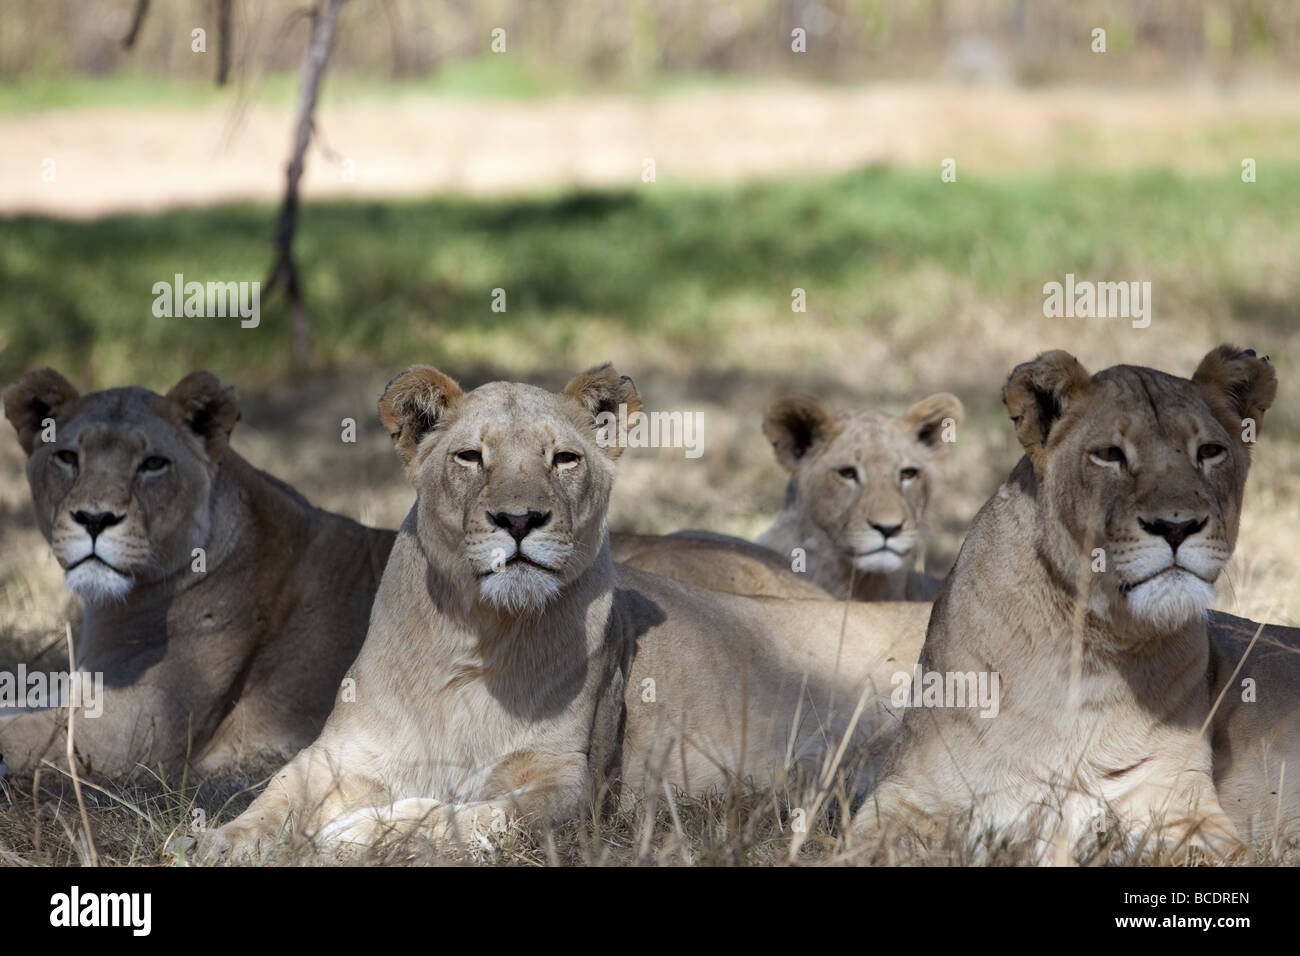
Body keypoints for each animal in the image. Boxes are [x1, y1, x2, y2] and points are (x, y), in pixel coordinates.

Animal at [850, 345, 1280, 863]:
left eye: (1210, 452)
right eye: (1110, 455)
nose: (1177, 526)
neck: (1094, 646)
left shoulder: (1178, 804)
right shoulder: (908, 790)